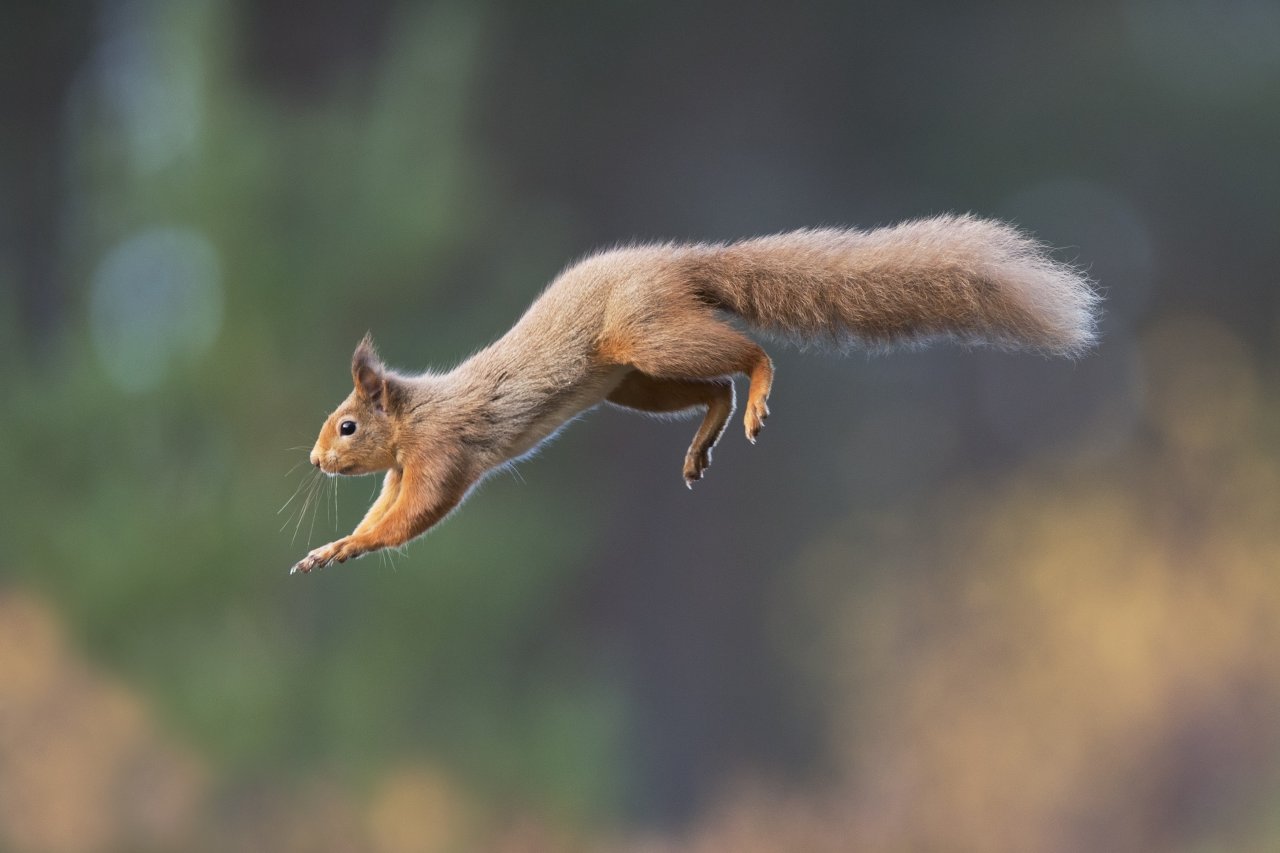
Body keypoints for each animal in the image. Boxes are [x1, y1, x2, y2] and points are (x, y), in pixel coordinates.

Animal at [290, 214, 1099, 574]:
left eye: (348, 426)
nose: (315, 460)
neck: (414, 414)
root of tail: (679, 264)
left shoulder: (442, 453)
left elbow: (414, 516)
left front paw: (347, 546)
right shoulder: (403, 467)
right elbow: (386, 509)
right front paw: (334, 544)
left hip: (644, 341)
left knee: (747, 355)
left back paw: (759, 390)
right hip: (635, 382)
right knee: (712, 388)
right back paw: (704, 439)